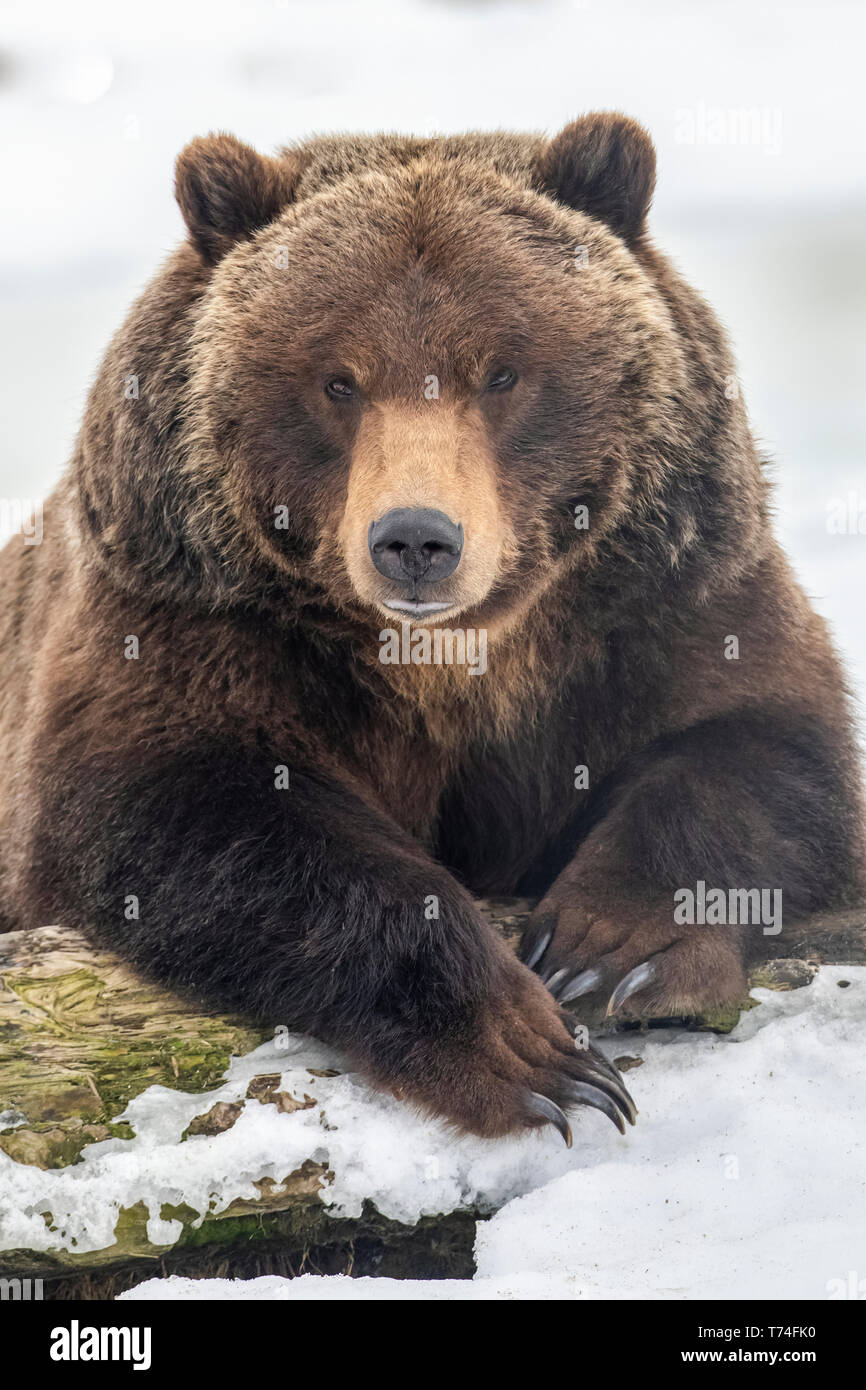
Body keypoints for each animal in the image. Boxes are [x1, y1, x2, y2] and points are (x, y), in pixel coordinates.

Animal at [0, 113, 863, 1145]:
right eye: (338, 380)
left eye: (502, 371)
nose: (416, 539)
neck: (448, 659)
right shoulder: (196, 615)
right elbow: (181, 805)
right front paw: (528, 1051)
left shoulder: (662, 598)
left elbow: (767, 742)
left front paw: (610, 950)